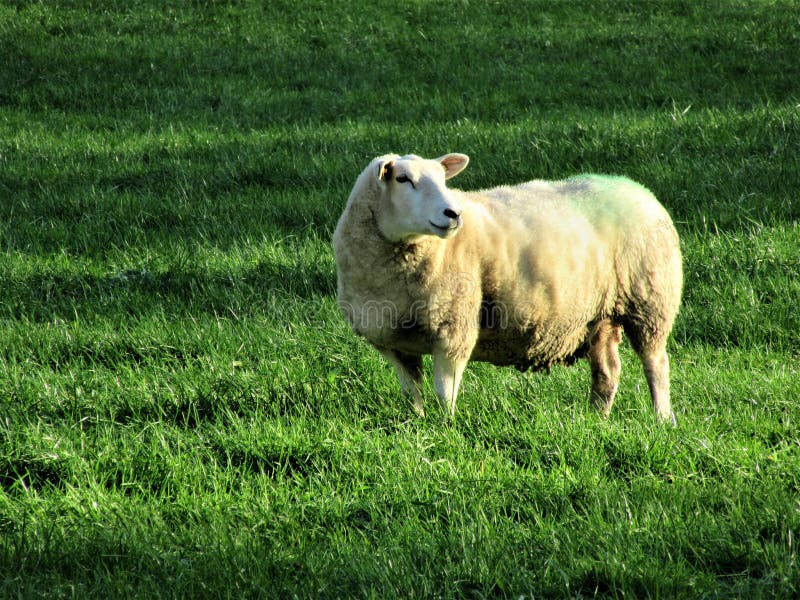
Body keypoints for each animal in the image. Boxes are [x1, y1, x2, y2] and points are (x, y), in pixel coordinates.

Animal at [333, 153, 683, 422]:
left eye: (444, 180)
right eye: (404, 179)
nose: (453, 214)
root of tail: (638, 188)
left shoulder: (454, 331)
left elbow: (444, 393)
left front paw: (446, 427)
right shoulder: (394, 343)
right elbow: (412, 394)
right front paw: (415, 424)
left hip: (649, 301)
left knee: (656, 364)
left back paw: (662, 419)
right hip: (599, 316)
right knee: (608, 371)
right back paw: (596, 419)